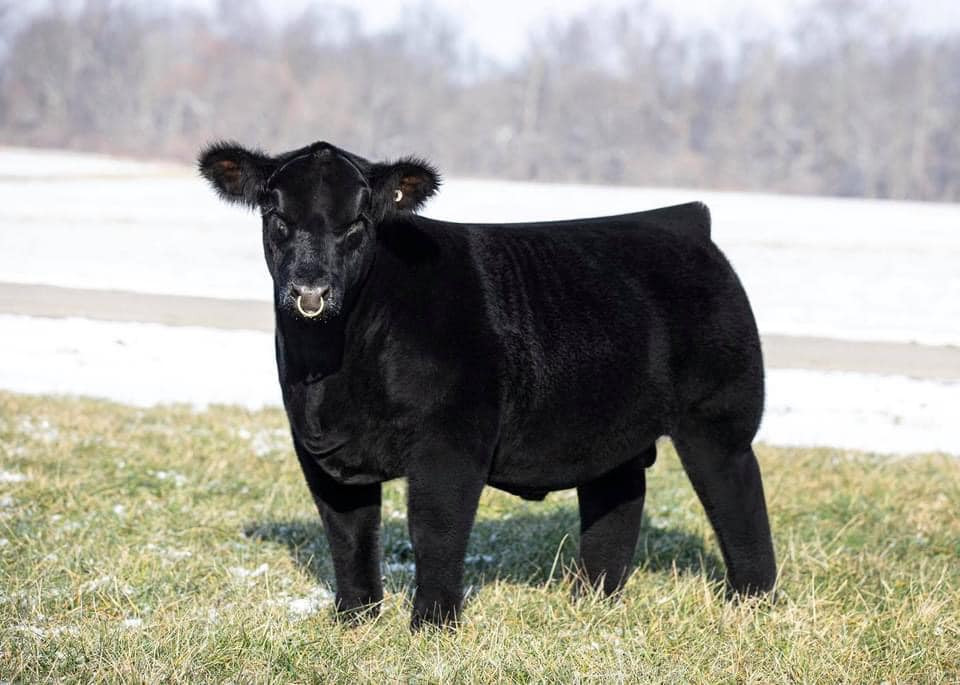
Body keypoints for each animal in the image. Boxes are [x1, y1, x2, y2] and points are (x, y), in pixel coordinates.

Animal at [198, 139, 776, 630]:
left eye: (357, 221)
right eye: (277, 217)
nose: (310, 289)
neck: (331, 376)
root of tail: (682, 220)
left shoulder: (452, 442)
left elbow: (435, 527)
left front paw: (432, 626)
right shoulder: (318, 447)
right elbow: (348, 531)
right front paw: (354, 621)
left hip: (719, 417)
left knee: (736, 494)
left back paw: (751, 601)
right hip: (609, 425)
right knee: (617, 497)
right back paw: (590, 600)